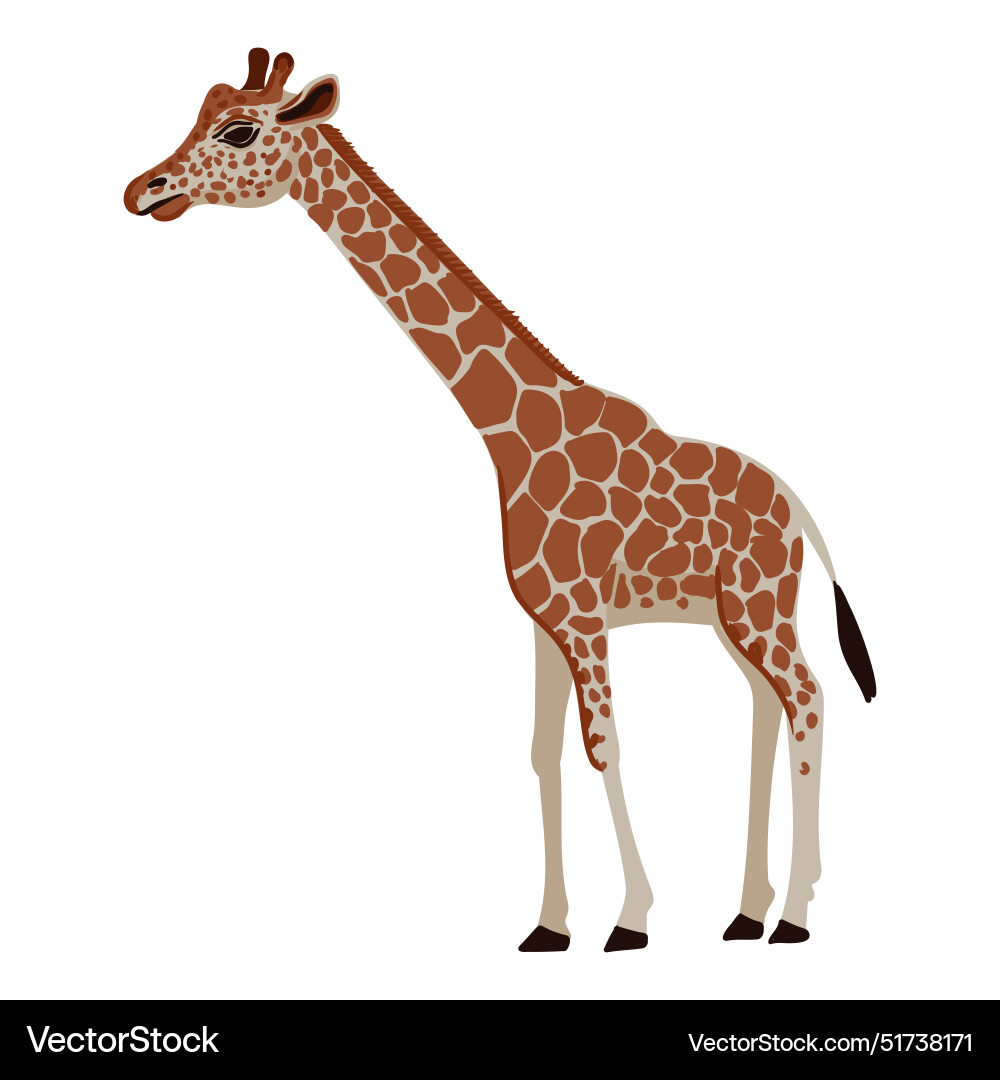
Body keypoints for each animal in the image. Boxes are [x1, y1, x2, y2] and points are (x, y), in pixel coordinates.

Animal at [124, 49, 876, 951]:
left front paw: (629, 921)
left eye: (239, 130)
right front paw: (549, 927)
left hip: (759, 608)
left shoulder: (583, 616)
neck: (512, 435)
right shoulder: (544, 620)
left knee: (809, 701)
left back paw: (793, 914)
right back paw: (748, 911)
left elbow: (604, 748)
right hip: (734, 614)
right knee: (767, 710)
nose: (143, 190)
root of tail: (801, 511)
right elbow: (542, 753)